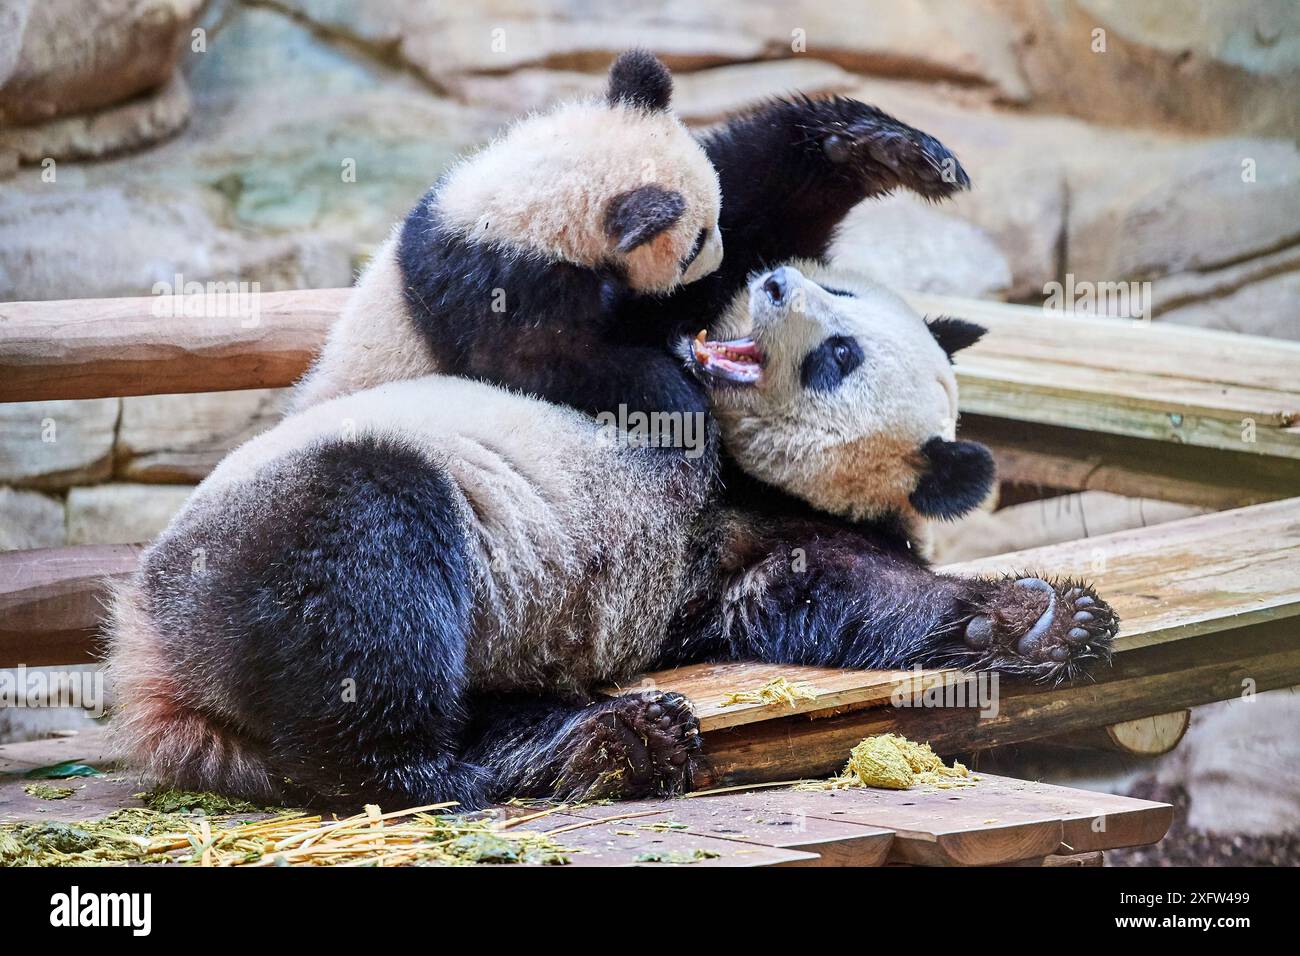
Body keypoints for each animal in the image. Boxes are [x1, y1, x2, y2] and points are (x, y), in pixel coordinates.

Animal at [105, 259, 1117, 811]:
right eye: (831, 286)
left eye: (841, 353)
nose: (773, 280)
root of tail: (151, 655)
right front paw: (1042, 618)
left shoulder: (747, 545)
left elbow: (822, 592)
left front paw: (1038, 621)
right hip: (271, 535)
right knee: (371, 575)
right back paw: (481, 768)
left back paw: (610, 740)